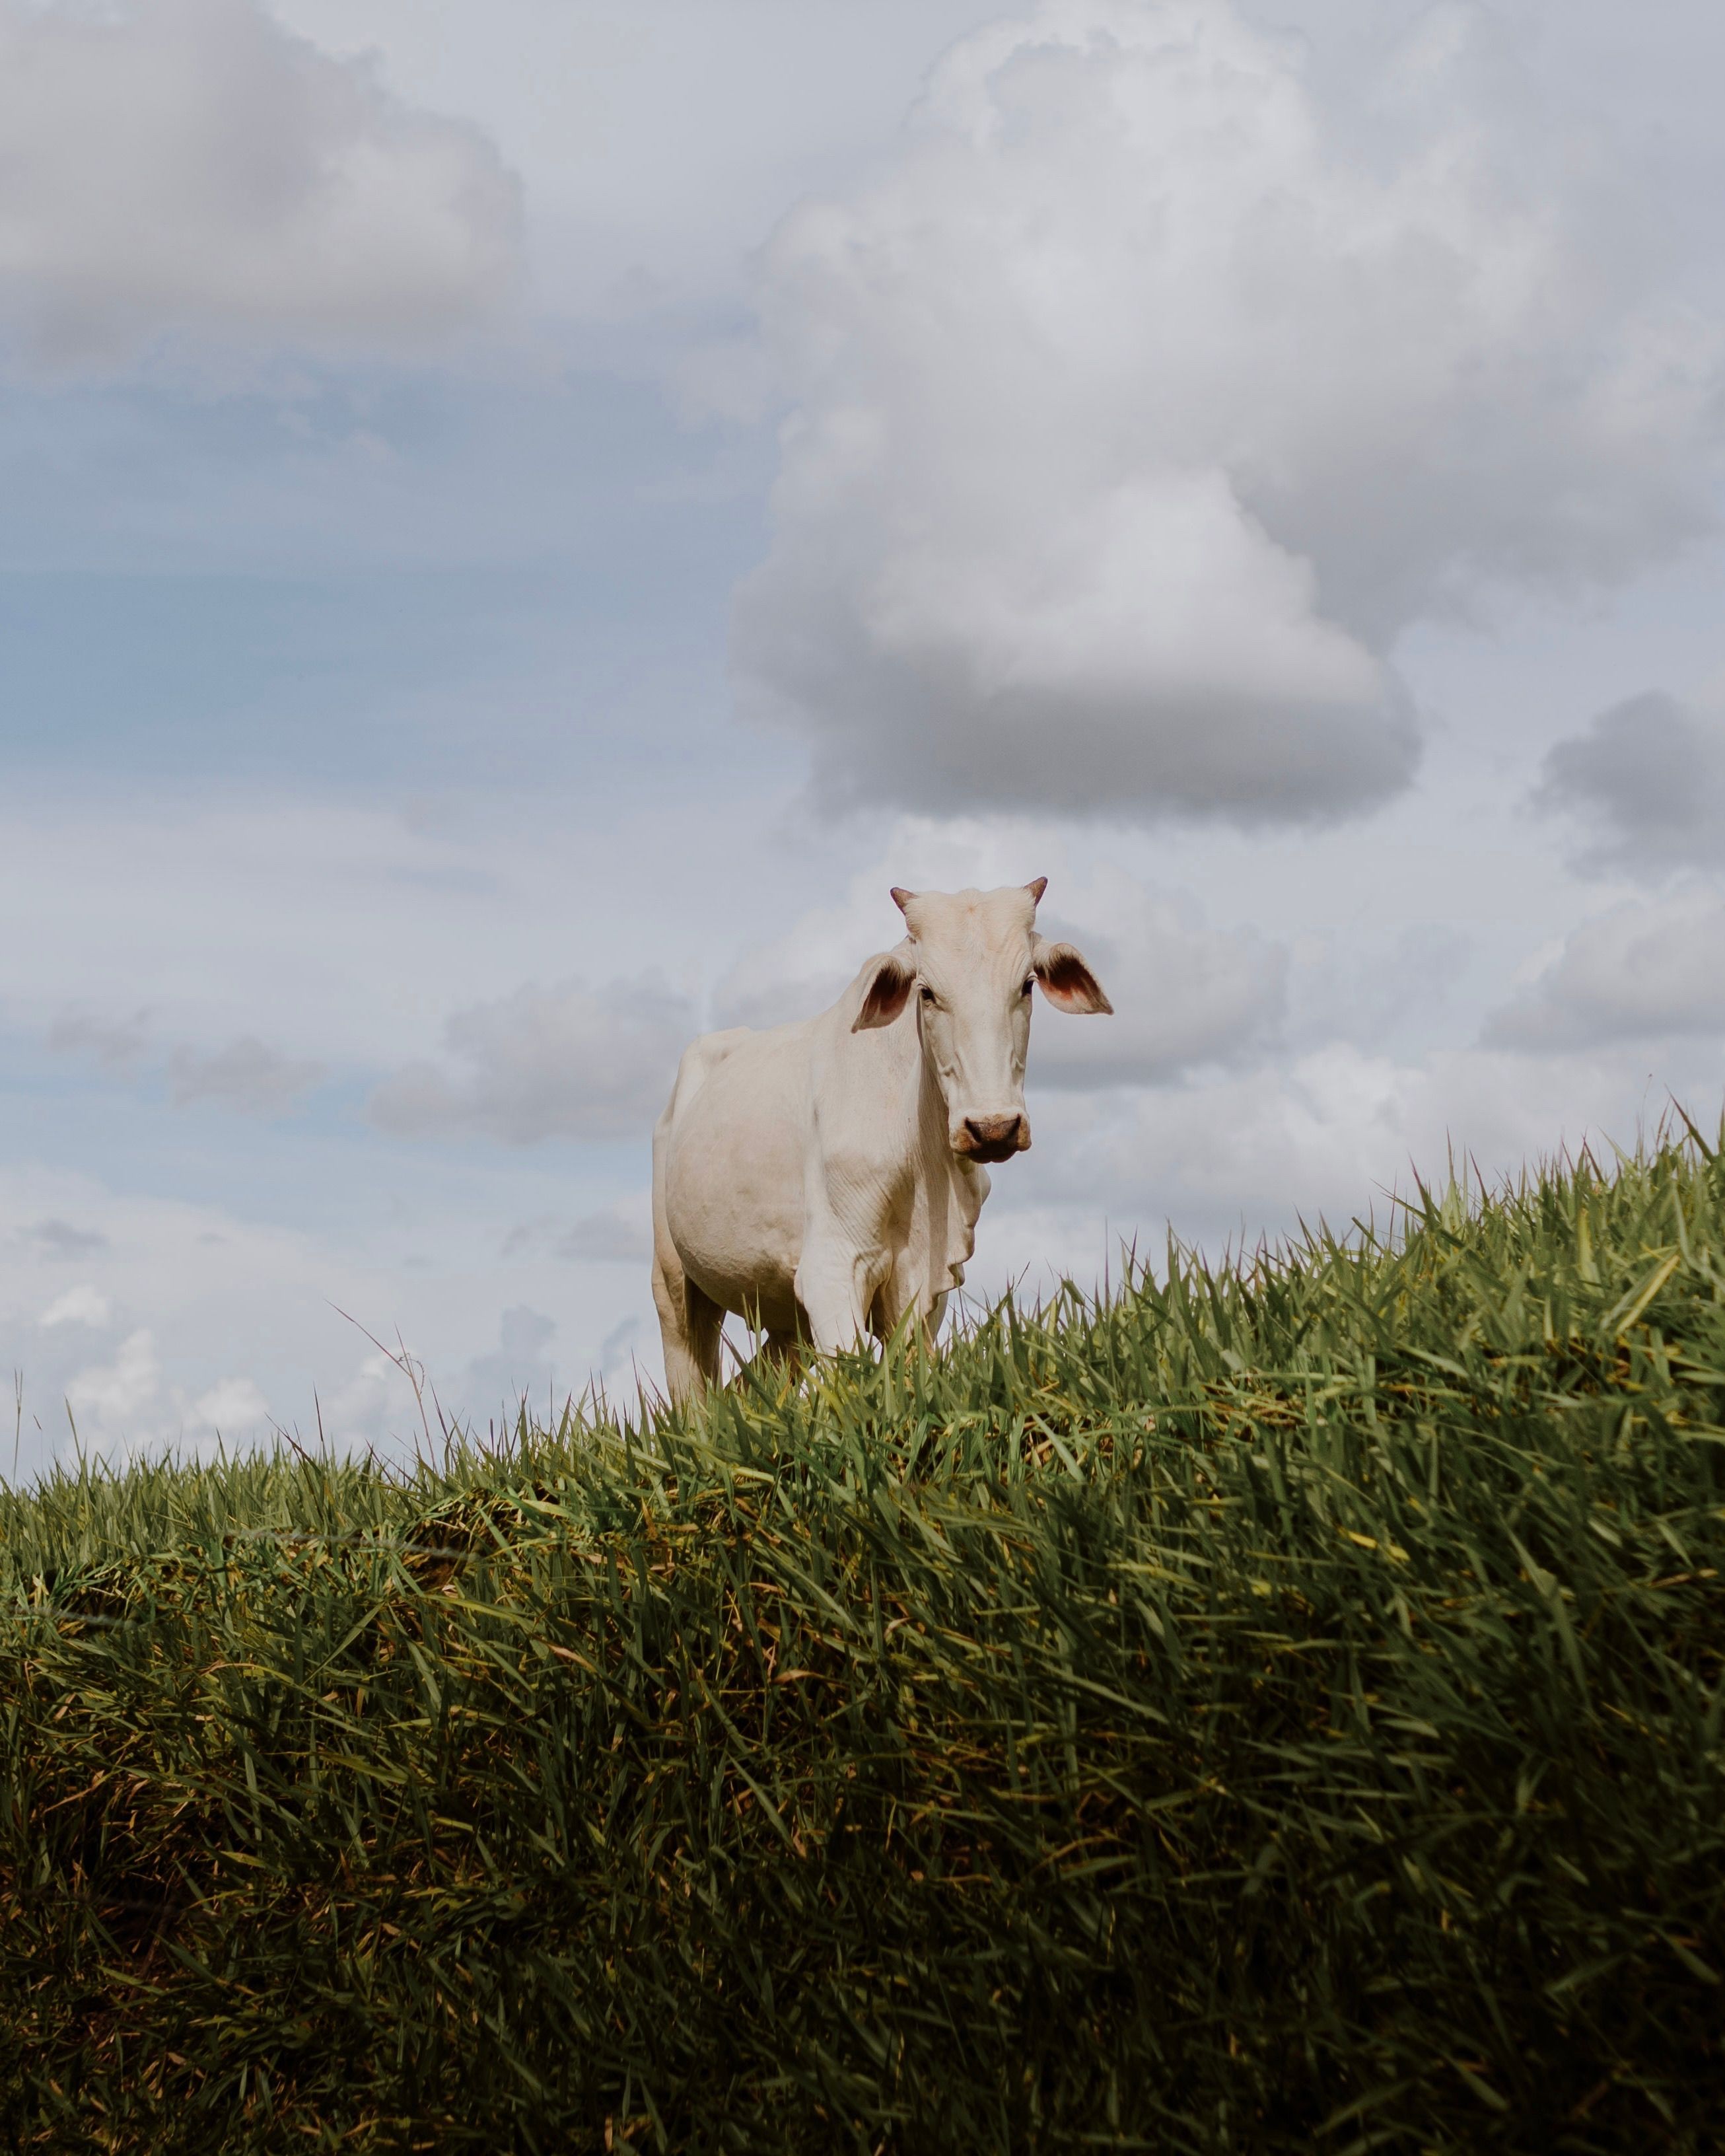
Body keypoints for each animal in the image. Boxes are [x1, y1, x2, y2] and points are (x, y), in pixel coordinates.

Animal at [651, 879, 1112, 1402]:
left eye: (1027, 985)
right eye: (926, 992)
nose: (993, 1128)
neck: (921, 1153)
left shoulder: (919, 1282)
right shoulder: (833, 1264)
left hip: (785, 1318)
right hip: (675, 1285)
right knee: (691, 1386)